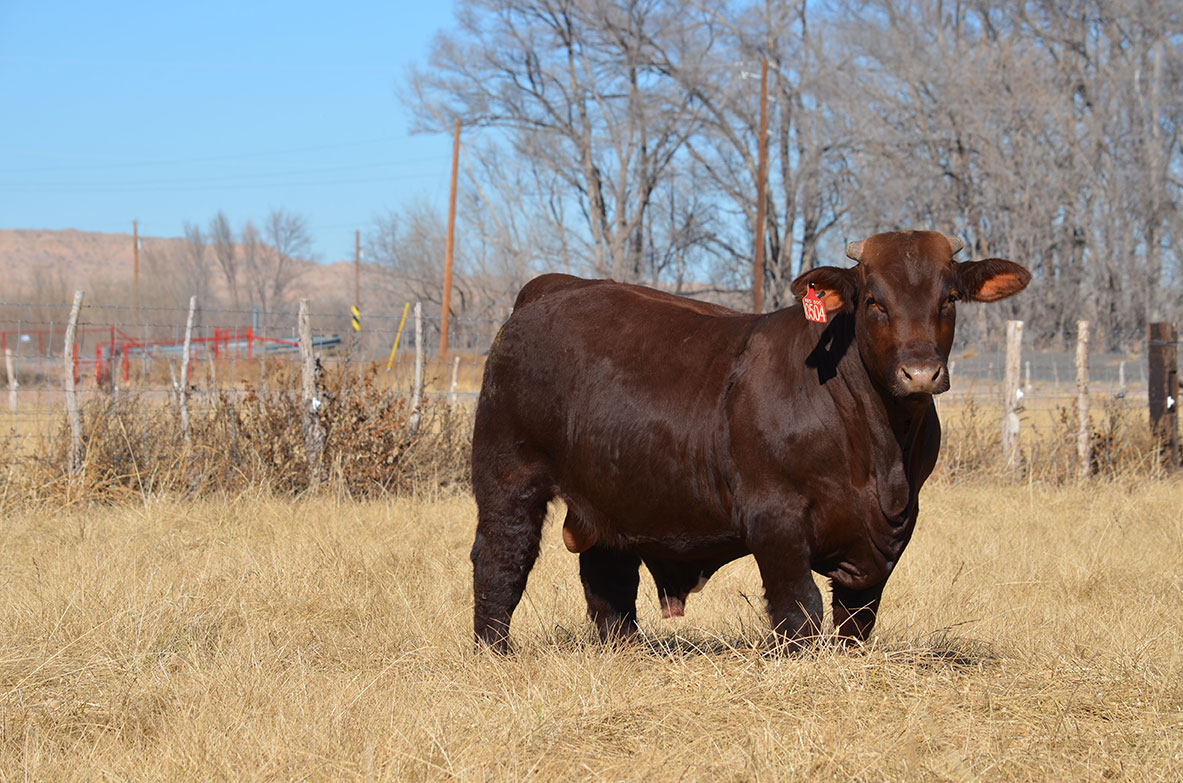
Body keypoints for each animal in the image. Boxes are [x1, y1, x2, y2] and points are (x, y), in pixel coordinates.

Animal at [470, 230, 1029, 651]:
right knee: (501, 560)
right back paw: (495, 651)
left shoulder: (889, 533)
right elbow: (800, 610)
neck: (883, 451)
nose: (919, 373)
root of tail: (552, 288)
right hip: (508, 475)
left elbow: (857, 619)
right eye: (874, 301)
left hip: (614, 496)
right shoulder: (774, 517)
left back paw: (626, 650)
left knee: (609, 580)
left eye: (949, 299)